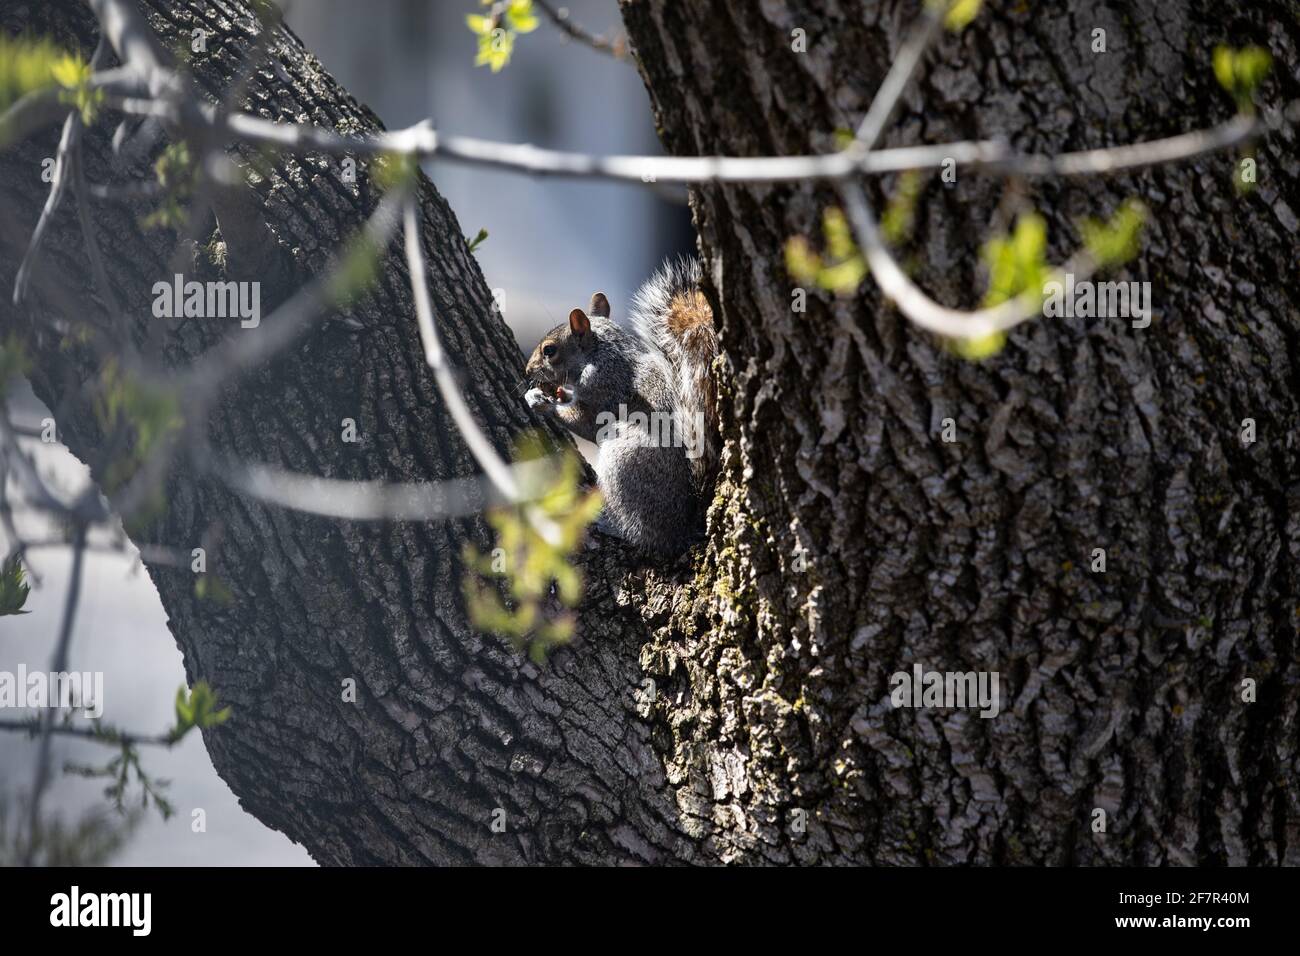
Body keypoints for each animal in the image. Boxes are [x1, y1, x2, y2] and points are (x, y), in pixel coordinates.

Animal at [524, 257, 719, 556]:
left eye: (549, 350)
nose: (526, 370)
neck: (601, 353)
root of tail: (682, 530)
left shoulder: (603, 388)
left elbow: (587, 423)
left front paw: (542, 403)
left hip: (622, 460)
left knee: (642, 534)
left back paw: (611, 525)